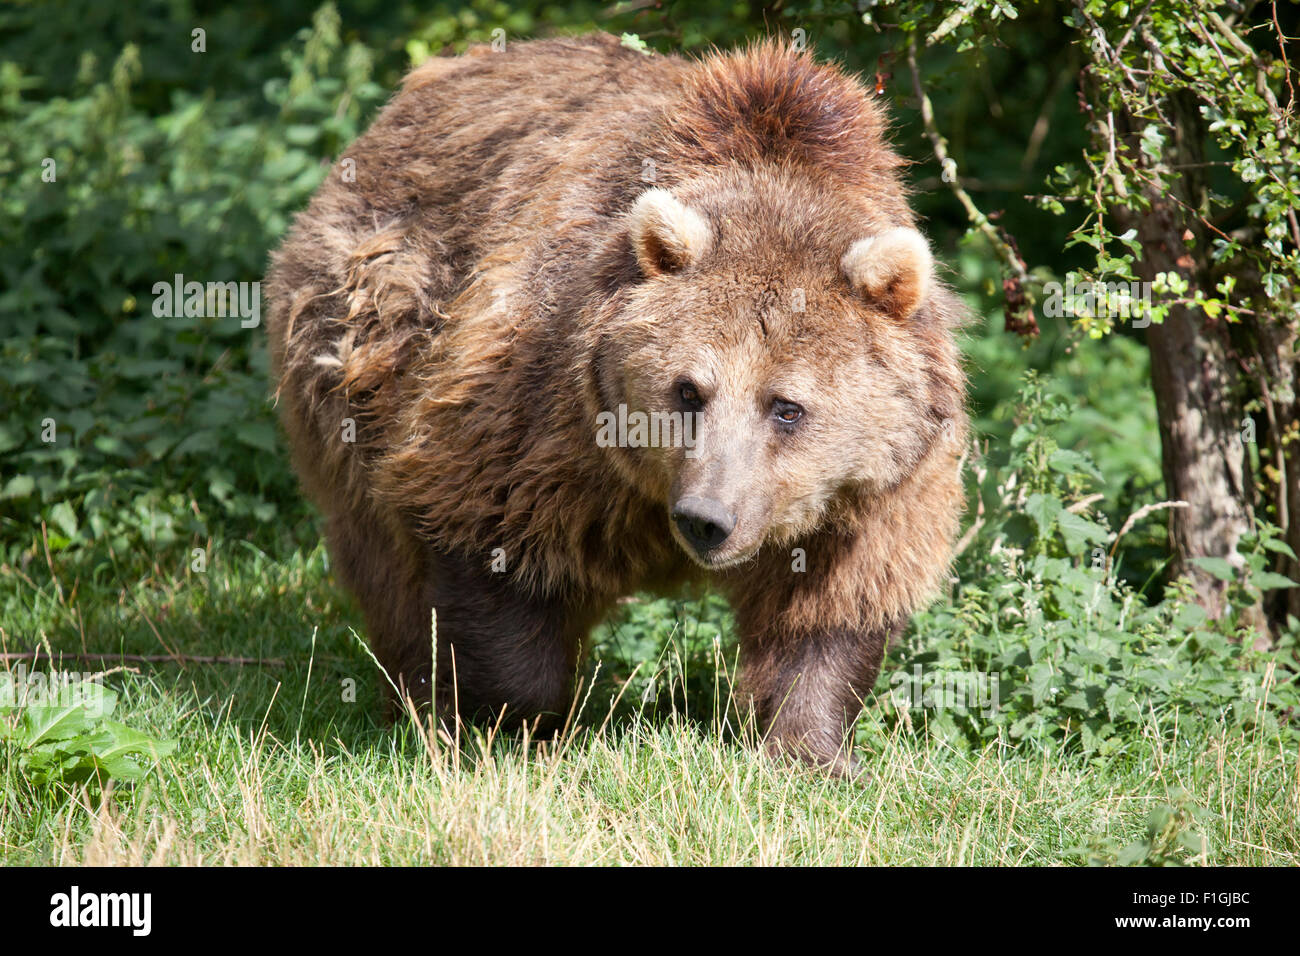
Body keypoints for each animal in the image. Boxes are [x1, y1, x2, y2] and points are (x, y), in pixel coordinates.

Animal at [265, 32, 967, 775]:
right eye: (689, 389)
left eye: (787, 406)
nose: (706, 520)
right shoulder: (544, 411)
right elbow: (492, 536)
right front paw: (511, 725)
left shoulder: (872, 492)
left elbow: (829, 611)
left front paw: (813, 749)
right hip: (364, 338)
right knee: (383, 553)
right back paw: (412, 696)